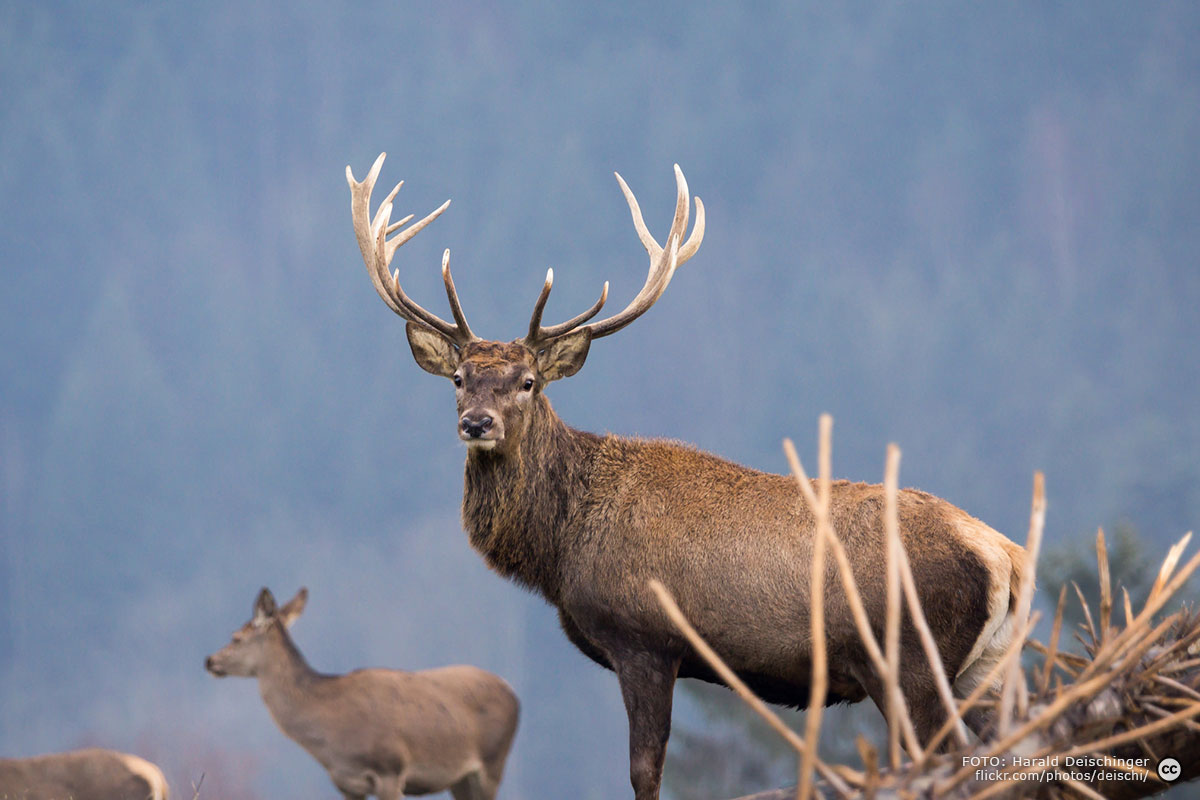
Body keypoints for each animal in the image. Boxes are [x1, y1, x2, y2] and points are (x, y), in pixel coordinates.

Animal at [204, 587, 519, 800]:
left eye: (236, 637)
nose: (210, 660)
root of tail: (513, 692)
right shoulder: (345, 782)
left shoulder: (391, 769)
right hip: (461, 779)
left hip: (493, 763)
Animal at [345, 153, 1028, 800]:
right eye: (459, 379)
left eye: (529, 381)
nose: (477, 423)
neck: (560, 550)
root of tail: (1008, 558)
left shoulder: (646, 638)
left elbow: (645, 771)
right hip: (983, 669)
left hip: (911, 660)